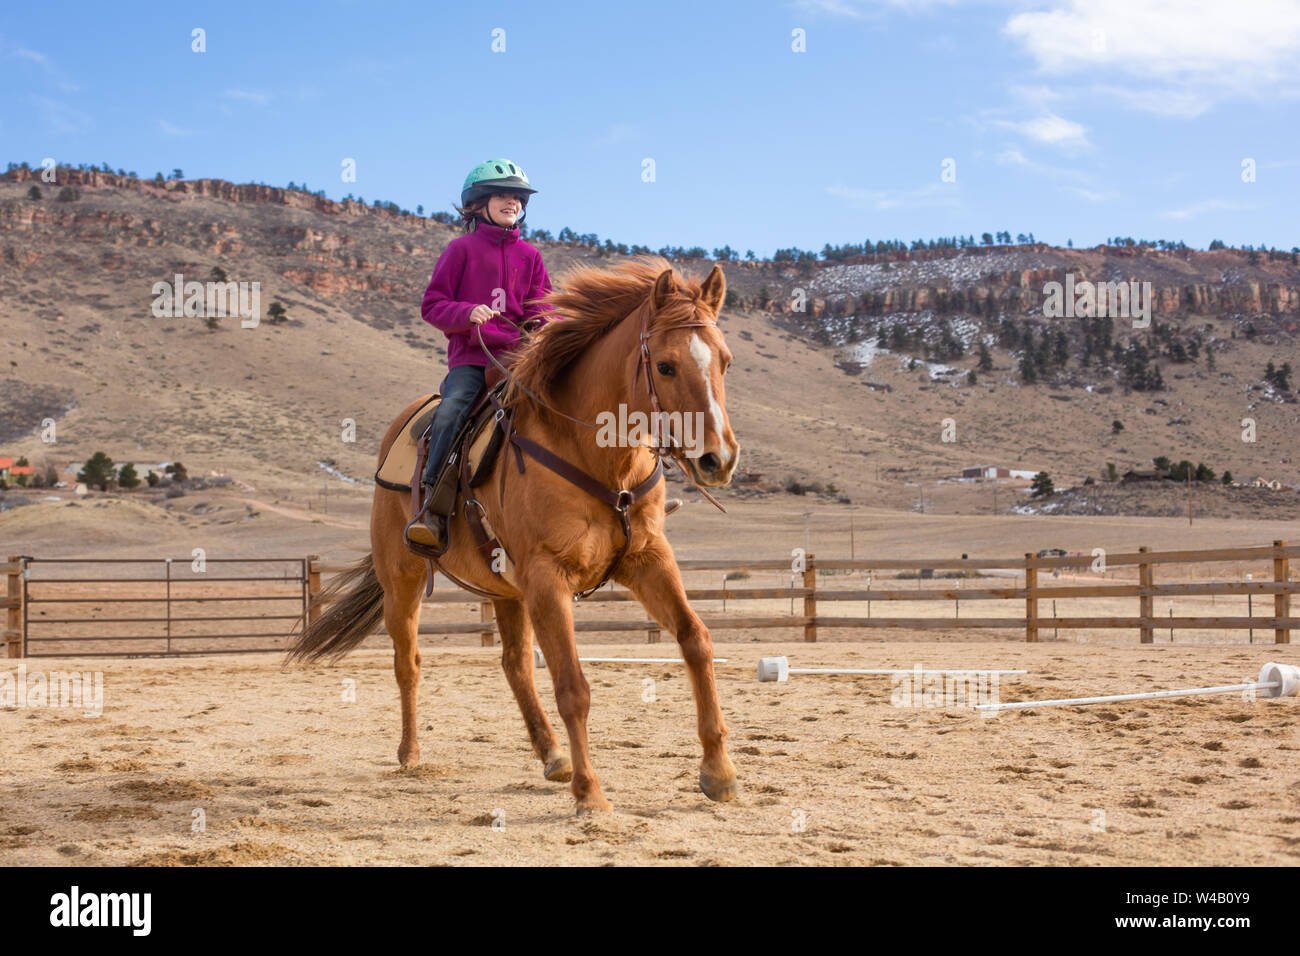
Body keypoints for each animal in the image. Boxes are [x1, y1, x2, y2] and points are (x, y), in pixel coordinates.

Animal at [287, 257, 741, 814]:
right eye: (666, 366)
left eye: (724, 362)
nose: (717, 458)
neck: (595, 455)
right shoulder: (549, 576)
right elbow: (572, 686)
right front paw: (590, 794)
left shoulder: (648, 560)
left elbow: (696, 641)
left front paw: (718, 771)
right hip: (404, 579)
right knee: (408, 664)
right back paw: (411, 753)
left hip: (506, 589)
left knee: (515, 665)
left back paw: (552, 754)